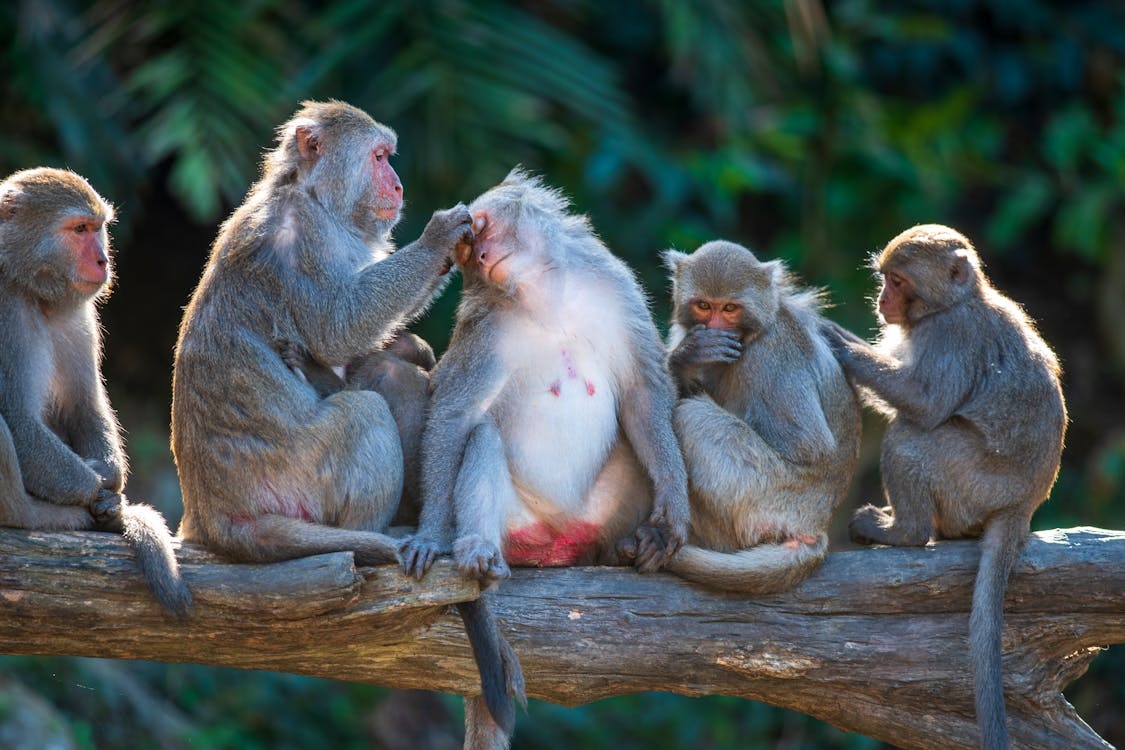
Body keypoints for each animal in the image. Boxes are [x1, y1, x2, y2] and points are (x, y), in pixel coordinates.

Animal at [0, 167, 191, 618]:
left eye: (98, 228)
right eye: (79, 229)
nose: (103, 260)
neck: (29, 288)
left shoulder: (79, 315)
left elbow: (83, 407)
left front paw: (109, 482)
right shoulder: (5, 315)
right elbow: (17, 418)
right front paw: (97, 490)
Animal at [170, 101, 523, 739]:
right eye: (381, 157)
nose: (399, 185)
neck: (309, 195)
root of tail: (214, 516)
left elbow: (364, 349)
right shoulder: (300, 241)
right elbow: (340, 326)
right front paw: (441, 236)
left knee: (386, 376)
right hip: (298, 475)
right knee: (365, 410)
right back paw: (383, 535)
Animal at [660, 240, 861, 594]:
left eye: (729, 309)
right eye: (703, 305)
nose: (714, 329)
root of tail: (815, 525)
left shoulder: (771, 358)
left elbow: (807, 445)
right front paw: (687, 358)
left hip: (764, 496)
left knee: (691, 417)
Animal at [820, 224, 1067, 750]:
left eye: (897, 281)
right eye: (884, 279)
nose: (881, 300)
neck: (954, 302)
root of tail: (1025, 504)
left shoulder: (949, 335)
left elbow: (924, 403)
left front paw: (834, 341)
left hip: (976, 484)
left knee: (912, 436)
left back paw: (905, 532)